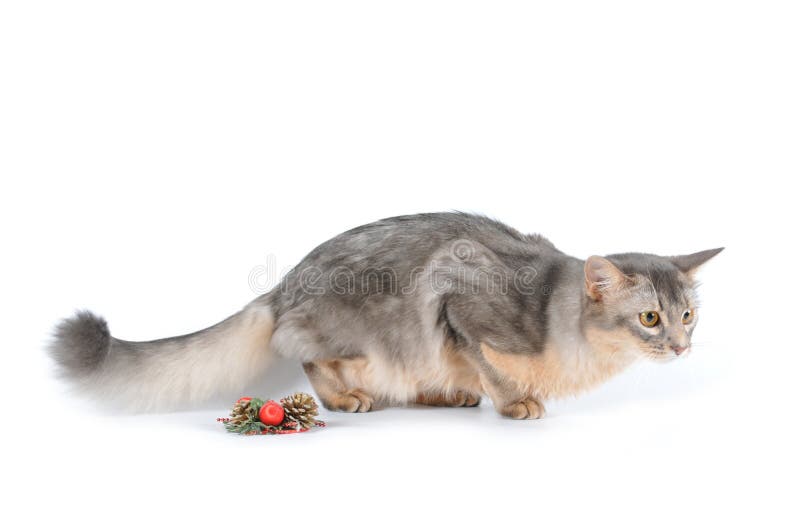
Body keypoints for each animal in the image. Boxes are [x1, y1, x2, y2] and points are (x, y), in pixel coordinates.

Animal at [50, 214, 724, 418]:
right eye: (650, 319)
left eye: (688, 316)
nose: (682, 348)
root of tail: (284, 285)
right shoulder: (457, 294)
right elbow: (492, 365)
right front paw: (515, 402)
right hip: (354, 332)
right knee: (308, 355)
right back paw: (346, 399)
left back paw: (444, 395)